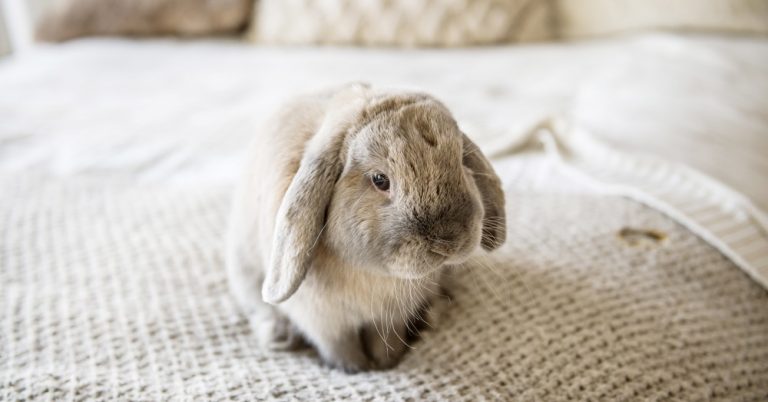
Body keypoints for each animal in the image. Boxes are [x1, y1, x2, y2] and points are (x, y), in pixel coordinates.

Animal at [226, 83, 506, 372]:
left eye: (460, 162)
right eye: (380, 180)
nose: (448, 242)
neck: (374, 274)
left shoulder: (391, 317)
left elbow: (386, 339)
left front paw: (386, 361)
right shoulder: (323, 320)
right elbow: (340, 345)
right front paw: (355, 368)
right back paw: (279, 336)